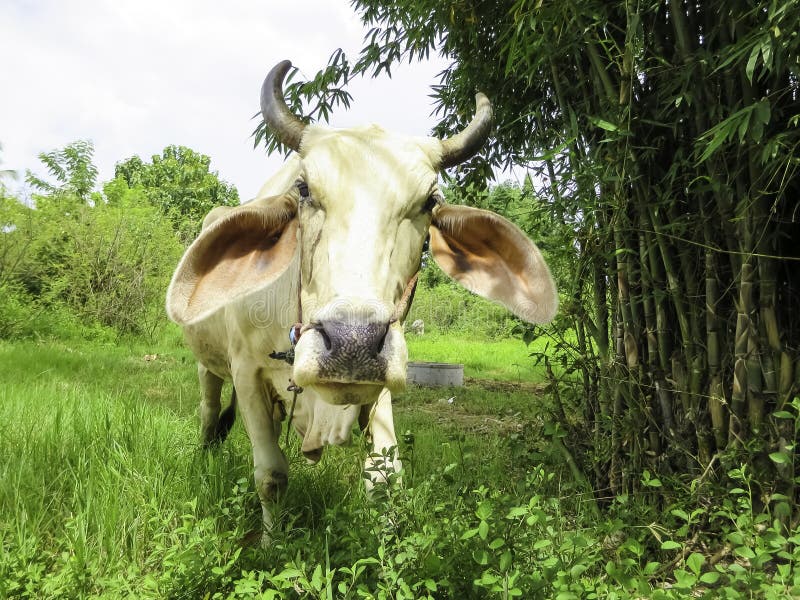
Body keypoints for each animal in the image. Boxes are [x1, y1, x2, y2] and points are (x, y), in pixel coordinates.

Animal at [166, 60, 557, 536]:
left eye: (430, 202)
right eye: (303, 190)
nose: (352, 342)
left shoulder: (381, 382)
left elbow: (384, 479)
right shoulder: (246, 371)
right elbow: (271, 477)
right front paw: (271, 542)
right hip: (209, 366)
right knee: (208, 412)